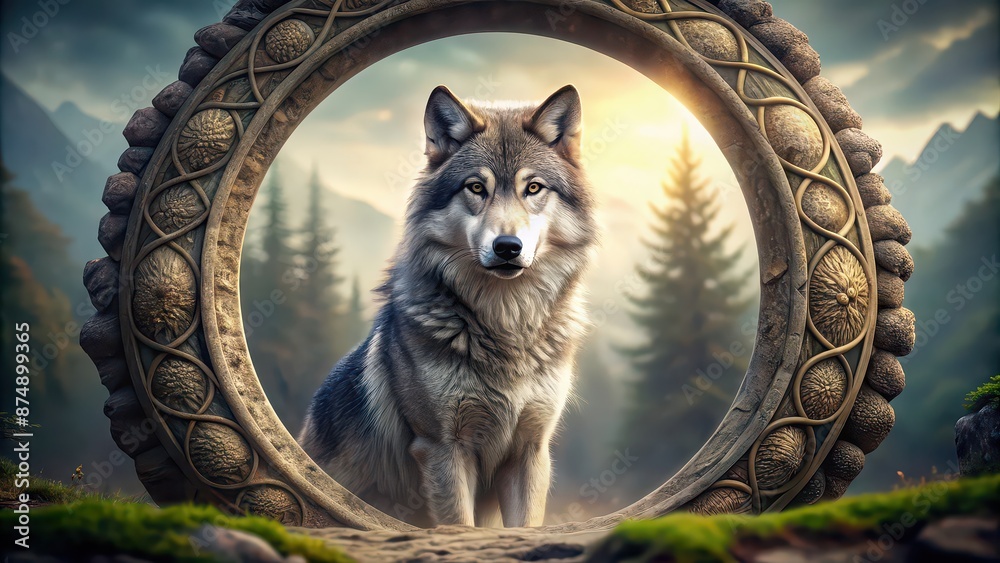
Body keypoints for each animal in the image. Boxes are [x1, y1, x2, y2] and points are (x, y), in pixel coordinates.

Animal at [298, 84, 598, 528]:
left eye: (533, 188)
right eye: (475, 188)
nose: (507, 247)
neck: (506, 324)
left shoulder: (530, 453)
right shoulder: (443, 449)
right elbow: (459, 525)